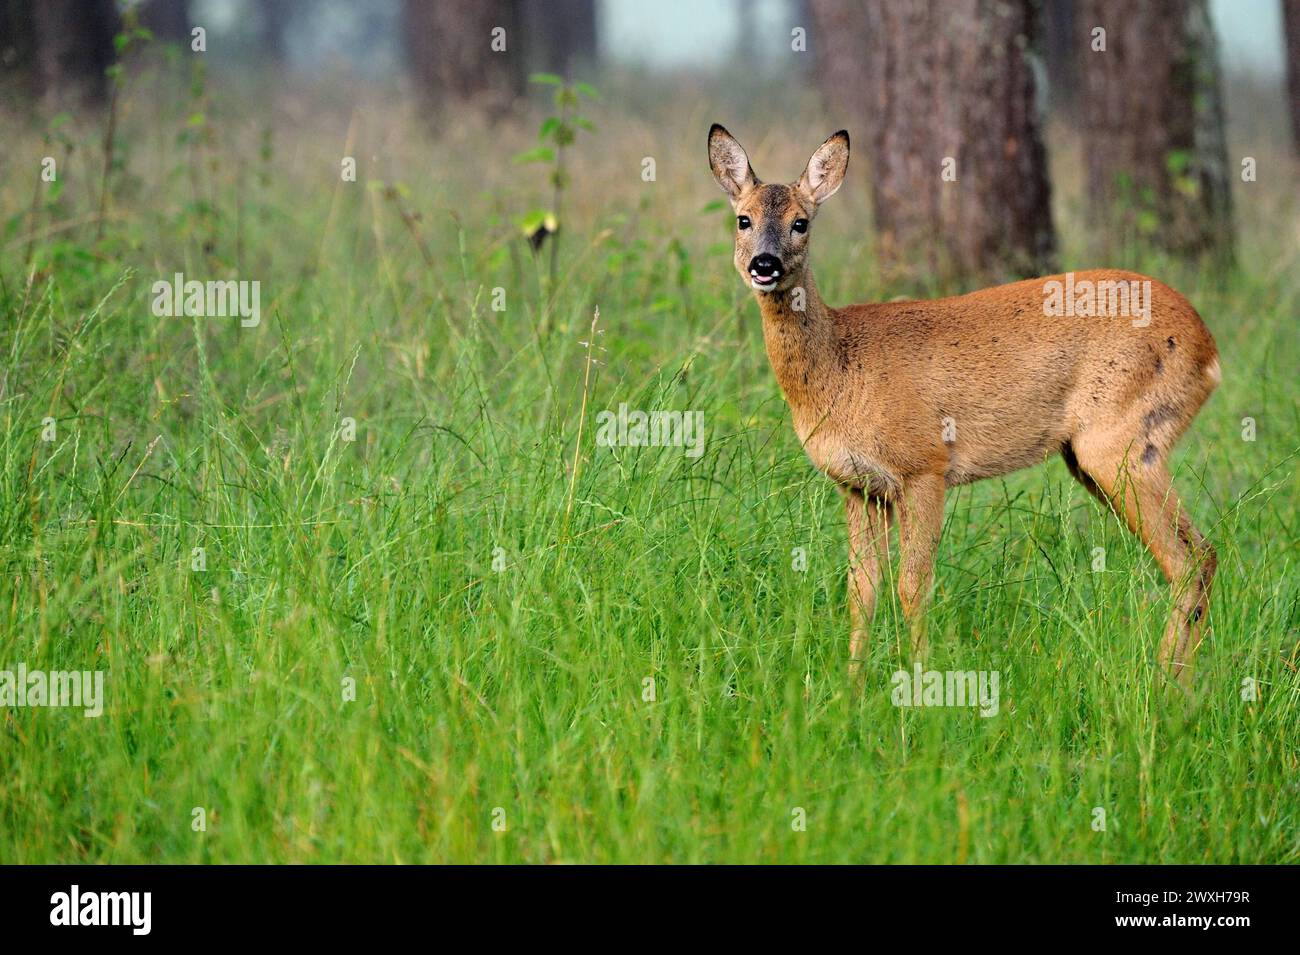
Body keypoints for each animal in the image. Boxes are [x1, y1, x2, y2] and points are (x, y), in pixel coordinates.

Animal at [707, 124, 1221, 689]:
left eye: (801, 222)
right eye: (743, 219)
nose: (765, 265)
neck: (838, 370)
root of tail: (1207, 345)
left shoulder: (924, 466)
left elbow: (913, 585)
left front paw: (921, 682)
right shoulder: (858, 486)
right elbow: (861, 591)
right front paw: (851, 688)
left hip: (1121, 440)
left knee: (1189, 560)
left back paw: (1167, 686)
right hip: (1094, 457)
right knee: (1200, 555)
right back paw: (1178, 687)